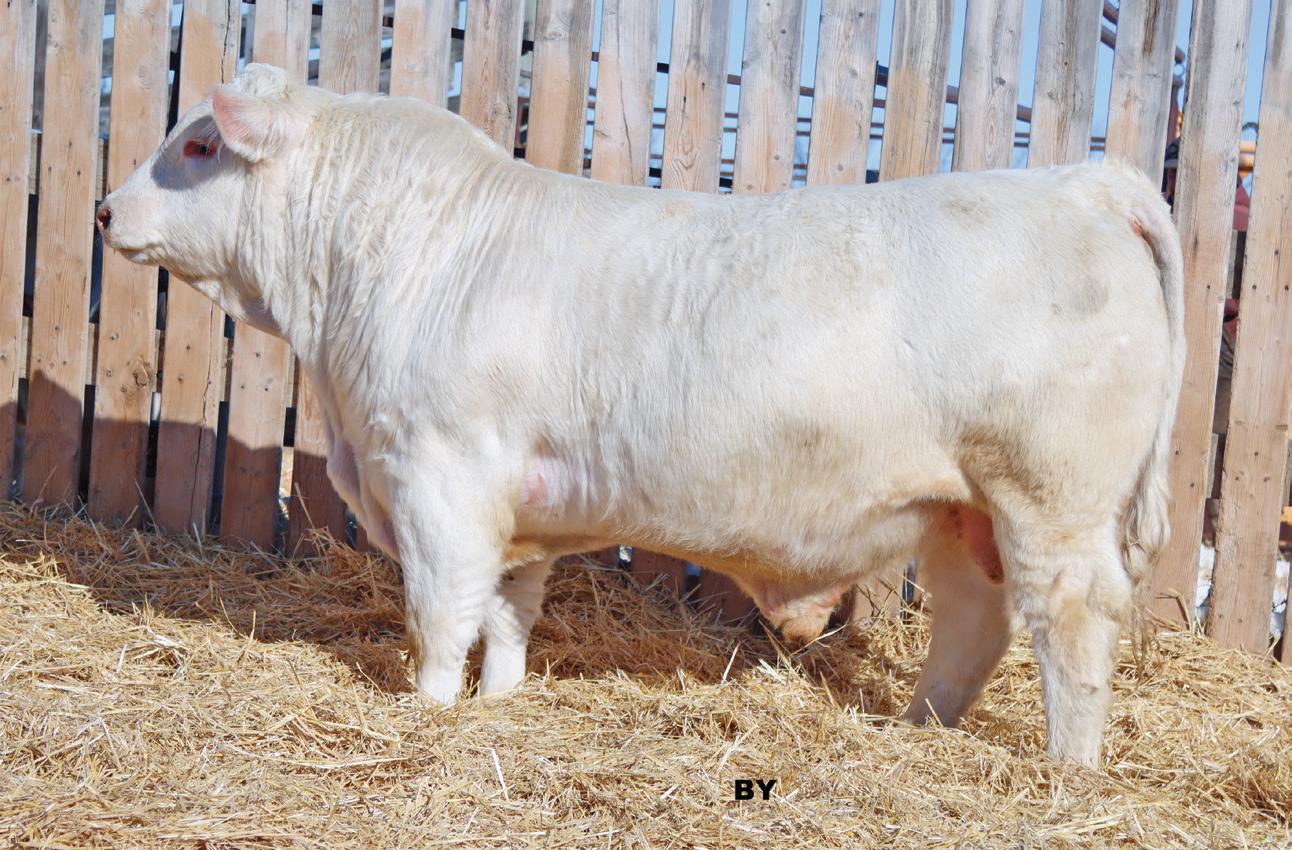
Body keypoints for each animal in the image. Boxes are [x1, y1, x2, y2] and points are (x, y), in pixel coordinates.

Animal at [96, 64, 1184, 766]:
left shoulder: (439, 475)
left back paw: (1066, 770)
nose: (105, 211)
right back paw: (916, 730)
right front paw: (500, 700)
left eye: (199, 142)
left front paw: (431, 710)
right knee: (974, 620)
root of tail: (1086, 181)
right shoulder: (514, 503)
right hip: (965, 508)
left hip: (1051, 496)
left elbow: (440, 614)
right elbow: (509, 610)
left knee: (1070, 620)